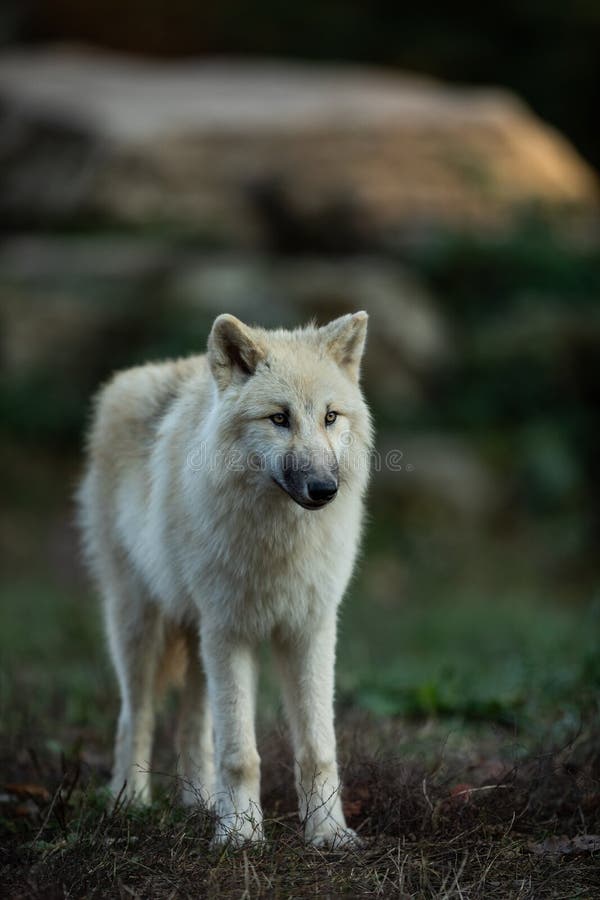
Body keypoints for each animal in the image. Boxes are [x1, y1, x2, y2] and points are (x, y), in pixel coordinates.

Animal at [78, 311, 373, 848]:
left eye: (330, 417)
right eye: (279, 418)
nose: (324, 489)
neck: (279, 542)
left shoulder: (310, 631)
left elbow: (318, 749)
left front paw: (327, 833)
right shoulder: (230, 632)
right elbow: (240, 754)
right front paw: (240, 835)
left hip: (198, 641)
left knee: (193, 724)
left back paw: (200, 803)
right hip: (140, 626)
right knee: (137, 716)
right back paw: (129, 801)